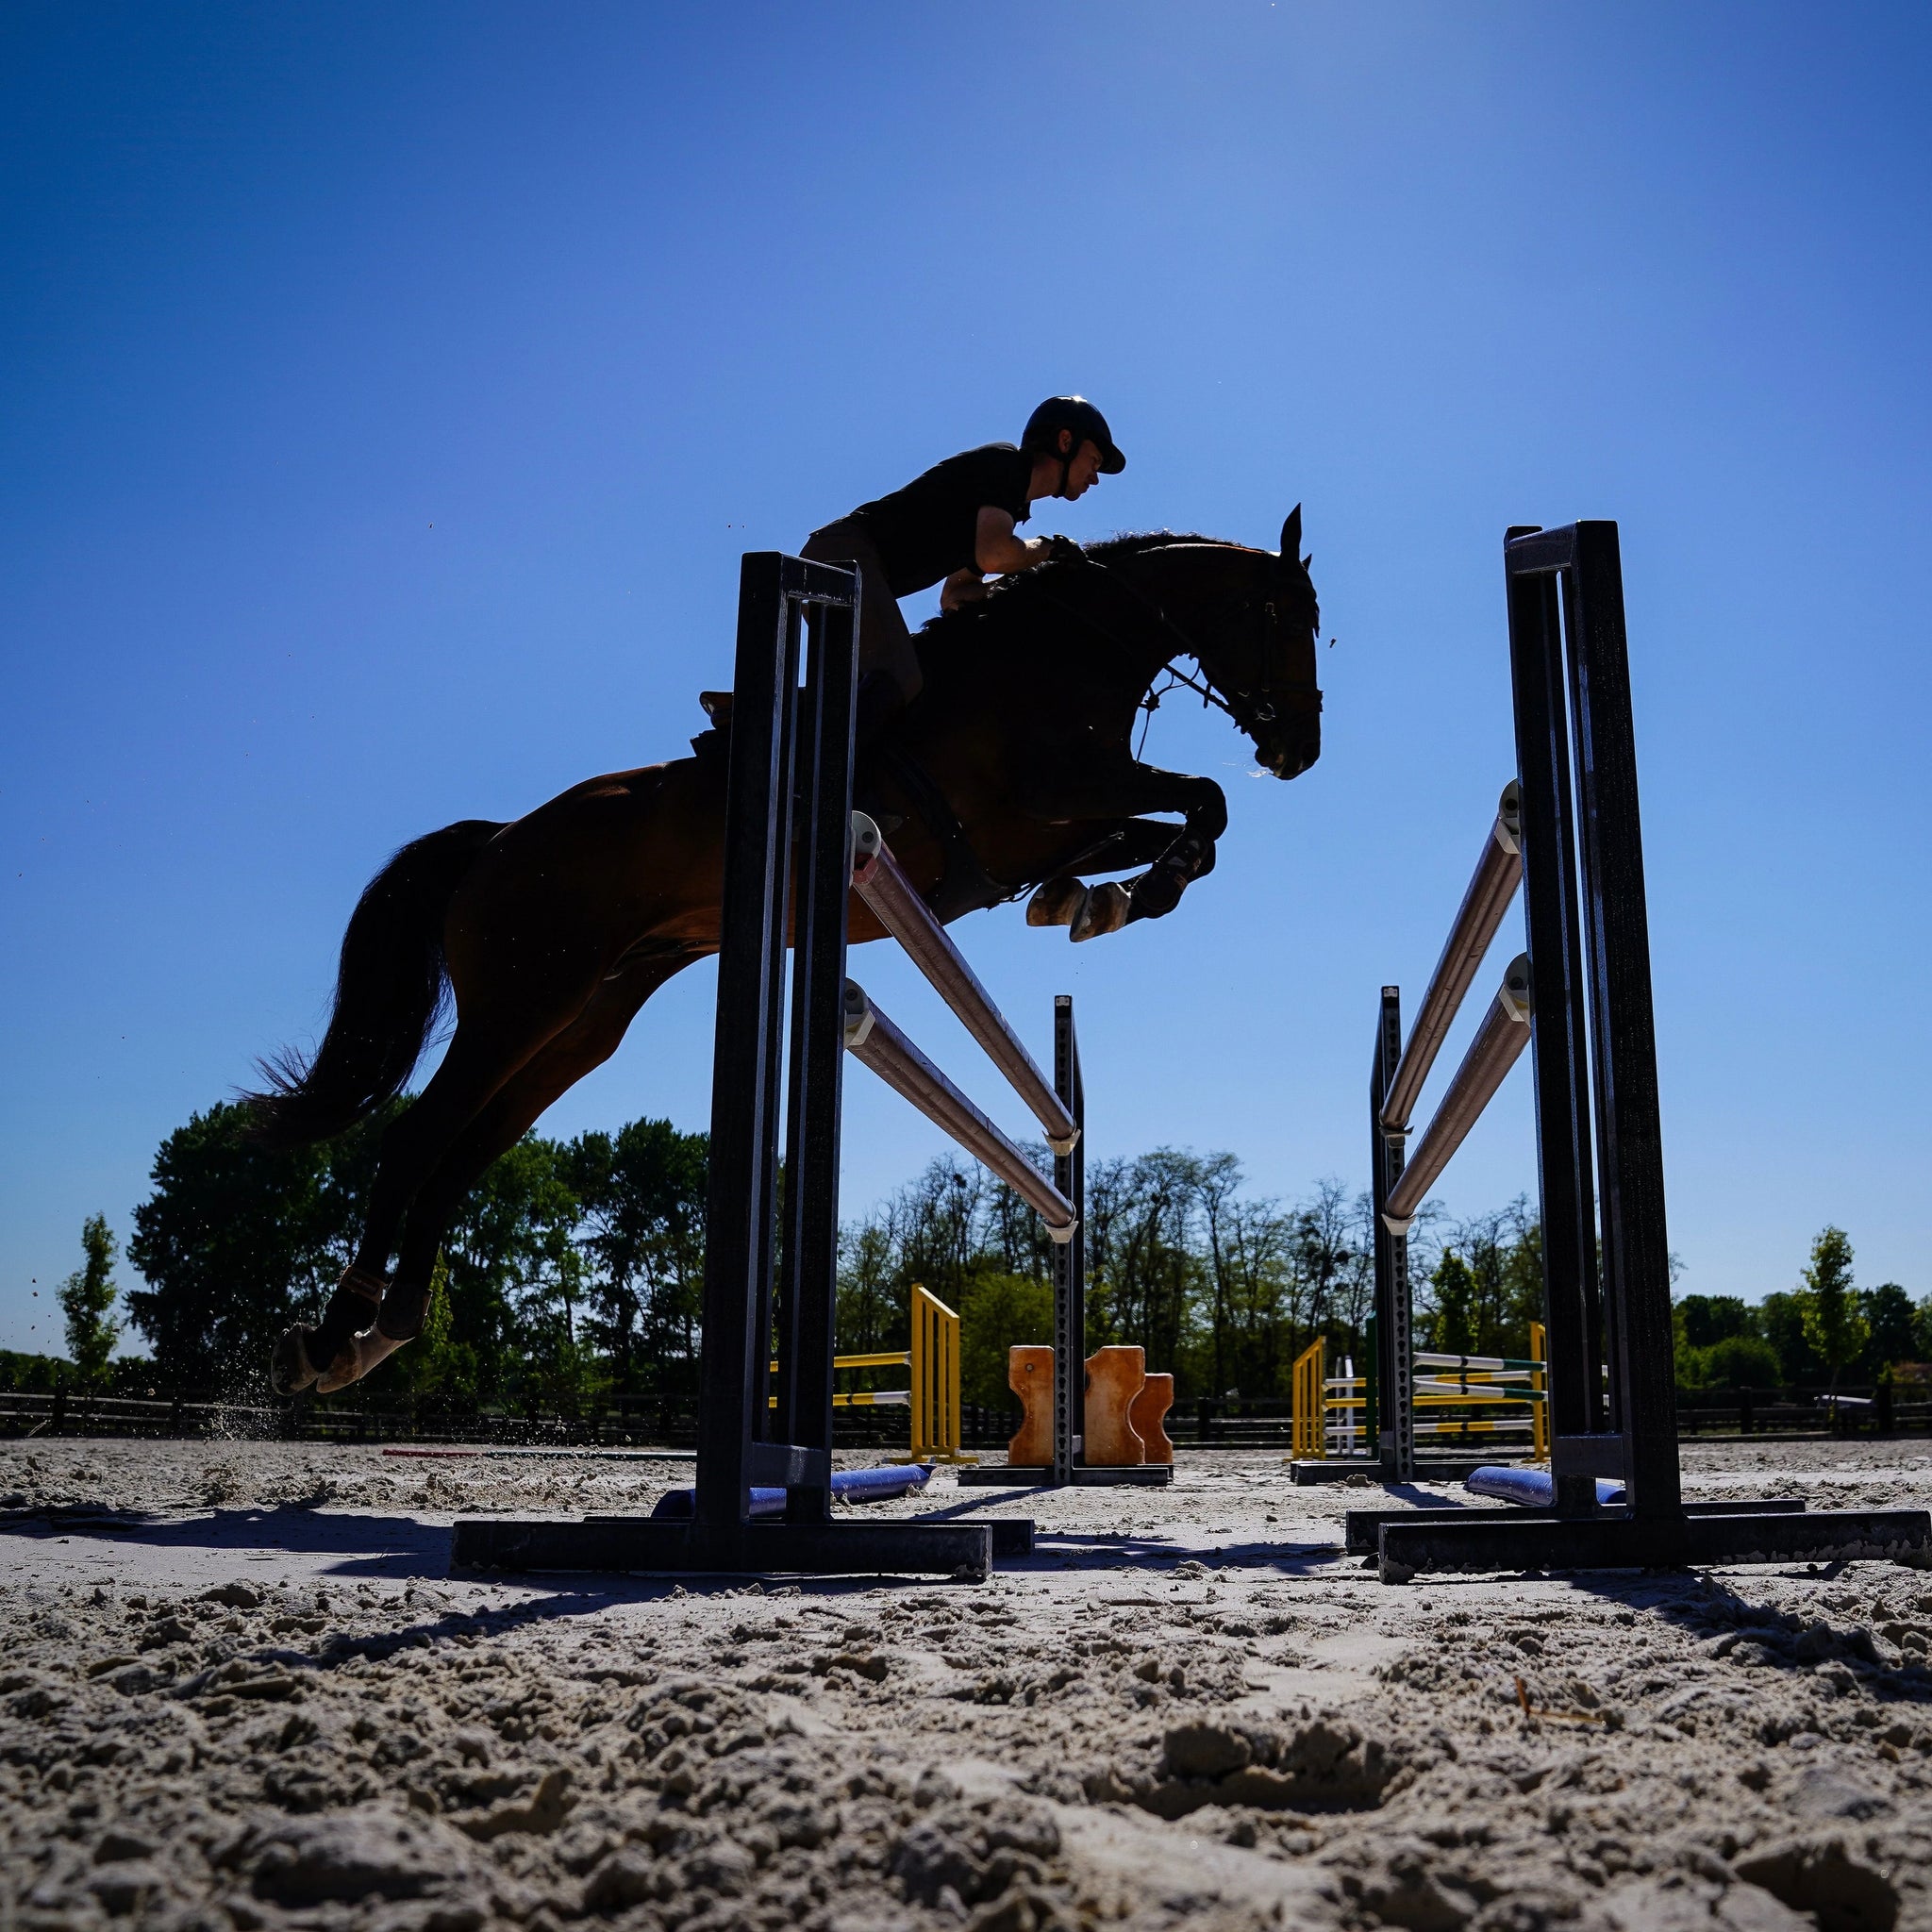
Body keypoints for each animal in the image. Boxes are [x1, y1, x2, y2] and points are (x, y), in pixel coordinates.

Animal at [251, 512, 1323, 1394]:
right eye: (1289, 618)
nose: (1298, 752)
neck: (1068, 651)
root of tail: (499, 838)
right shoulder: (1054, 788)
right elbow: (1199, 800)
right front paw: (1131, 892)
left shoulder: (1051, 826)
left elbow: (1170, 826)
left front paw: (1095, 901)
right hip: (524, 997)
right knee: (415, 1139)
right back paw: (333, 1333)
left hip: (583, 1020)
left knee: (464, 1155)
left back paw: (380, 1331)